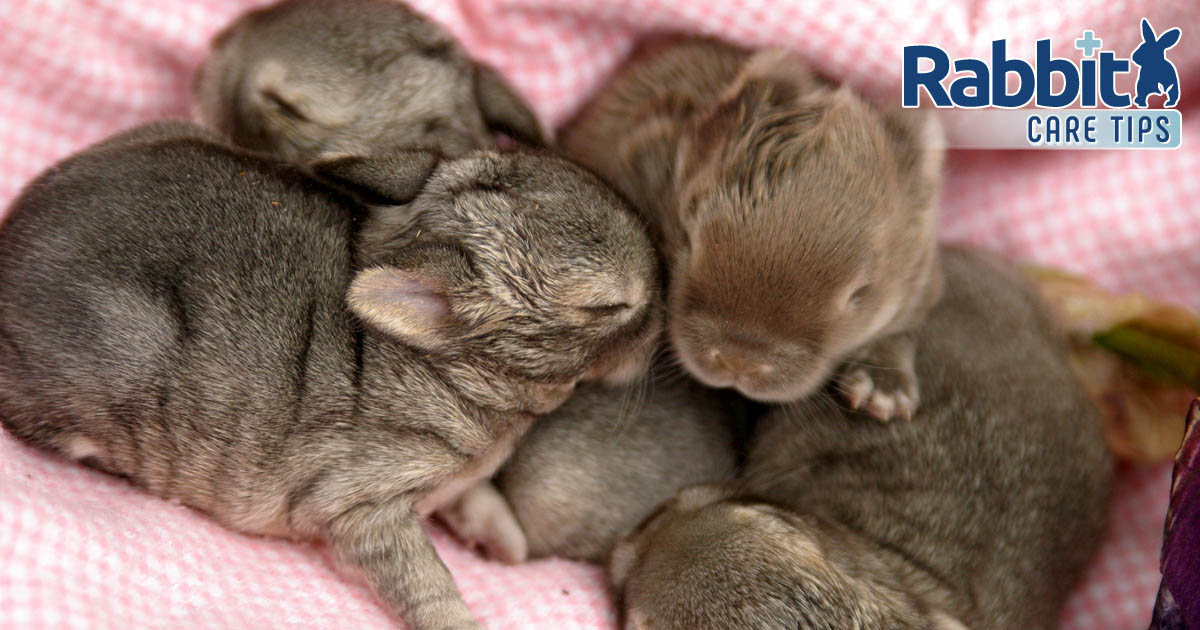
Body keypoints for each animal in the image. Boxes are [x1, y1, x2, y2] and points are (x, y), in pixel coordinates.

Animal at [0, 120, 661, 630]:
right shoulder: (362, 505)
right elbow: (426, 585)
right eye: (608, 306)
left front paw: (505, 542)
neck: (453, 362)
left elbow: (476, 498)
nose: (660, 318)